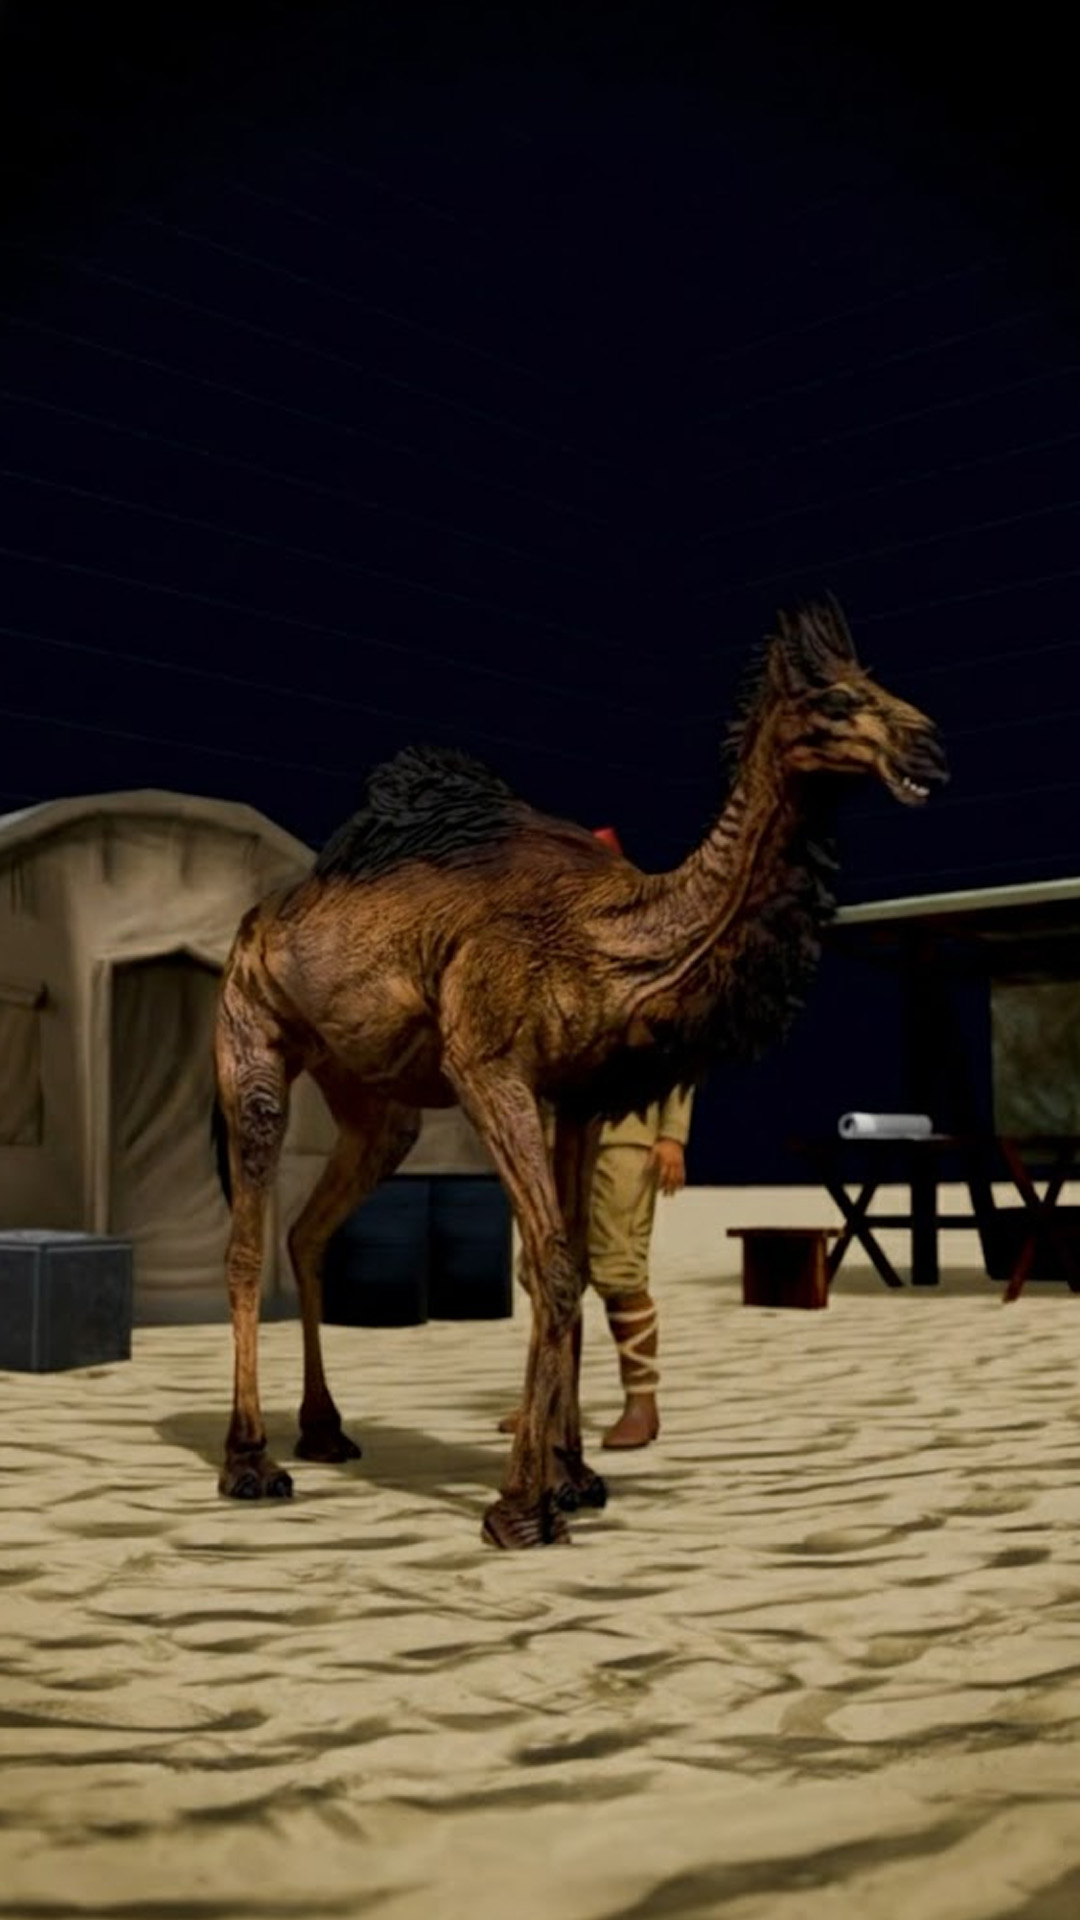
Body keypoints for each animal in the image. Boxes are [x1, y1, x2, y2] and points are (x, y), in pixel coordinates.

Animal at [211, 597, 947, 1549]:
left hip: (375, 1102)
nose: (928, 746)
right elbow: (555, 1267)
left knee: (309, 1230)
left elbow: (569, 1268)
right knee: (247, 1237)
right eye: (835, 698)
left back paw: (327, 1431)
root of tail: (259, 917)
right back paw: (250, 1463)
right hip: (251, 1032)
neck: (612, 941)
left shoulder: (581, 1096)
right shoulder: (488, 1067)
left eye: (876, 682)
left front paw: (573, 1479)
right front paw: (520, 1508)